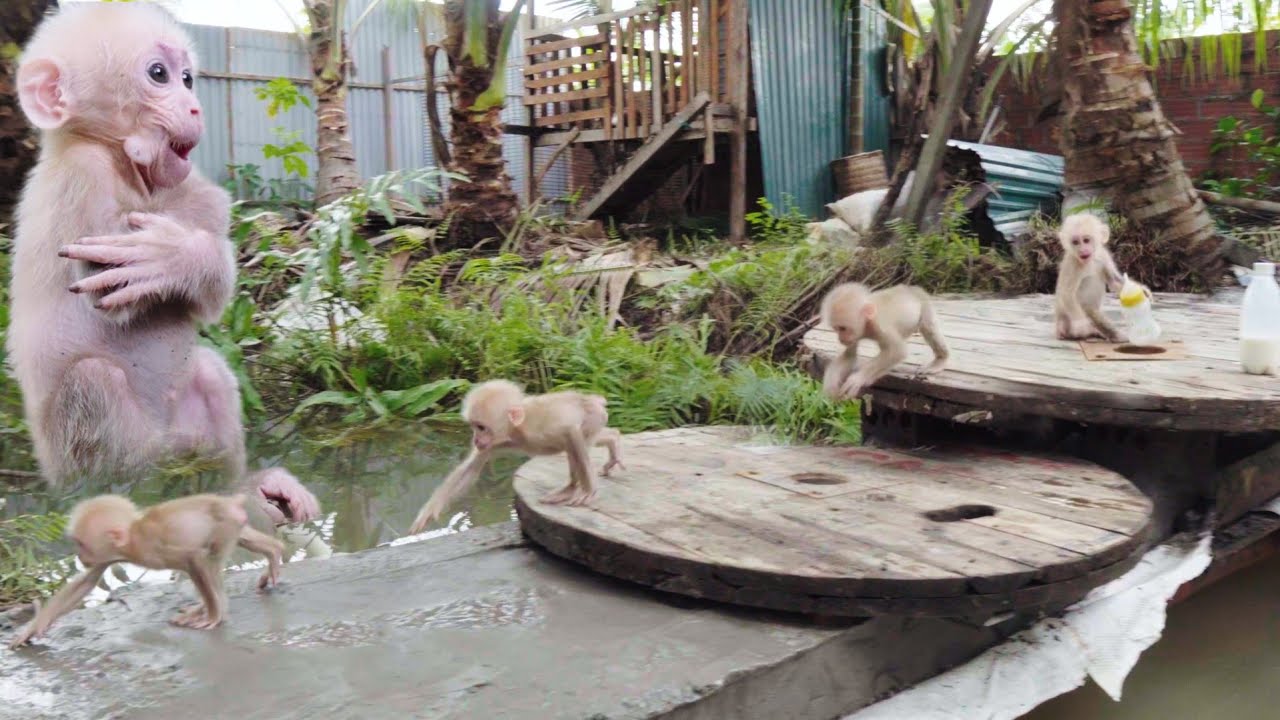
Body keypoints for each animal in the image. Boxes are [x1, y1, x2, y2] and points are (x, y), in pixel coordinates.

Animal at [8, 3, 319, 532]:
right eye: (159, 75)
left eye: (188, 78)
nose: (194, 108)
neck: (114, 159)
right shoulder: (84, 174)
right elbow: (105, 291)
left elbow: (204, 286)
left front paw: (180, 254)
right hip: (73, 466)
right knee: (95, 381)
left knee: (209, 370)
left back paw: (243, 489)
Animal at [9, 493, 285, 648]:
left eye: (81, 544)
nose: (79, 555)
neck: (133, 539)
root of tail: (230, 502)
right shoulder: (107, 556)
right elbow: (86, 582)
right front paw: (33, 627)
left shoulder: (156, 546)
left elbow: (194, 558)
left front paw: (214, 615)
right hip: (234, 523)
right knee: (243, 542)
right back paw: (274, 550)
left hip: (225, 525)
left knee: (212, 560)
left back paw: (213, 609)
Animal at [408, 381, 624, 534]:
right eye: (473, 427)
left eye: (481, 427)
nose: (475, 438)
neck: (516, 429)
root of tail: (593, 400)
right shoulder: (494, 443)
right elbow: (471, 468)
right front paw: (429, 512)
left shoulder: (541, 427)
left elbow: (571, 432)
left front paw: (588, 489)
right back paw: (613, 438)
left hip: (594, 416)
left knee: (578, 444)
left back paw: (572, 487)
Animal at [820, 282, 950, 401]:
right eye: (836, 329)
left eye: (843, 328)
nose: (840, 339)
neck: (868, 324)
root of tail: (910, 288)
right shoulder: (855, 336)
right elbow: (849, 355)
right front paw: (831, 385)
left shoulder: (881, 327)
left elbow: (898, 351)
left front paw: (858, 378)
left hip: (923, 301)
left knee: (928, 328)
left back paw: (940, 360)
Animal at [1054, 213, 1126, 342]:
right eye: (1075, 242)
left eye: (1086, 240)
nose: (1082, 250)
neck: (1089, 261)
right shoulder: (1073, 263)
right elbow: (1067, 294)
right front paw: (1081, 323)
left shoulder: (1103, 255)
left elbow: (1113, 283)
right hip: (1065, 325)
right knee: (1087, 310)